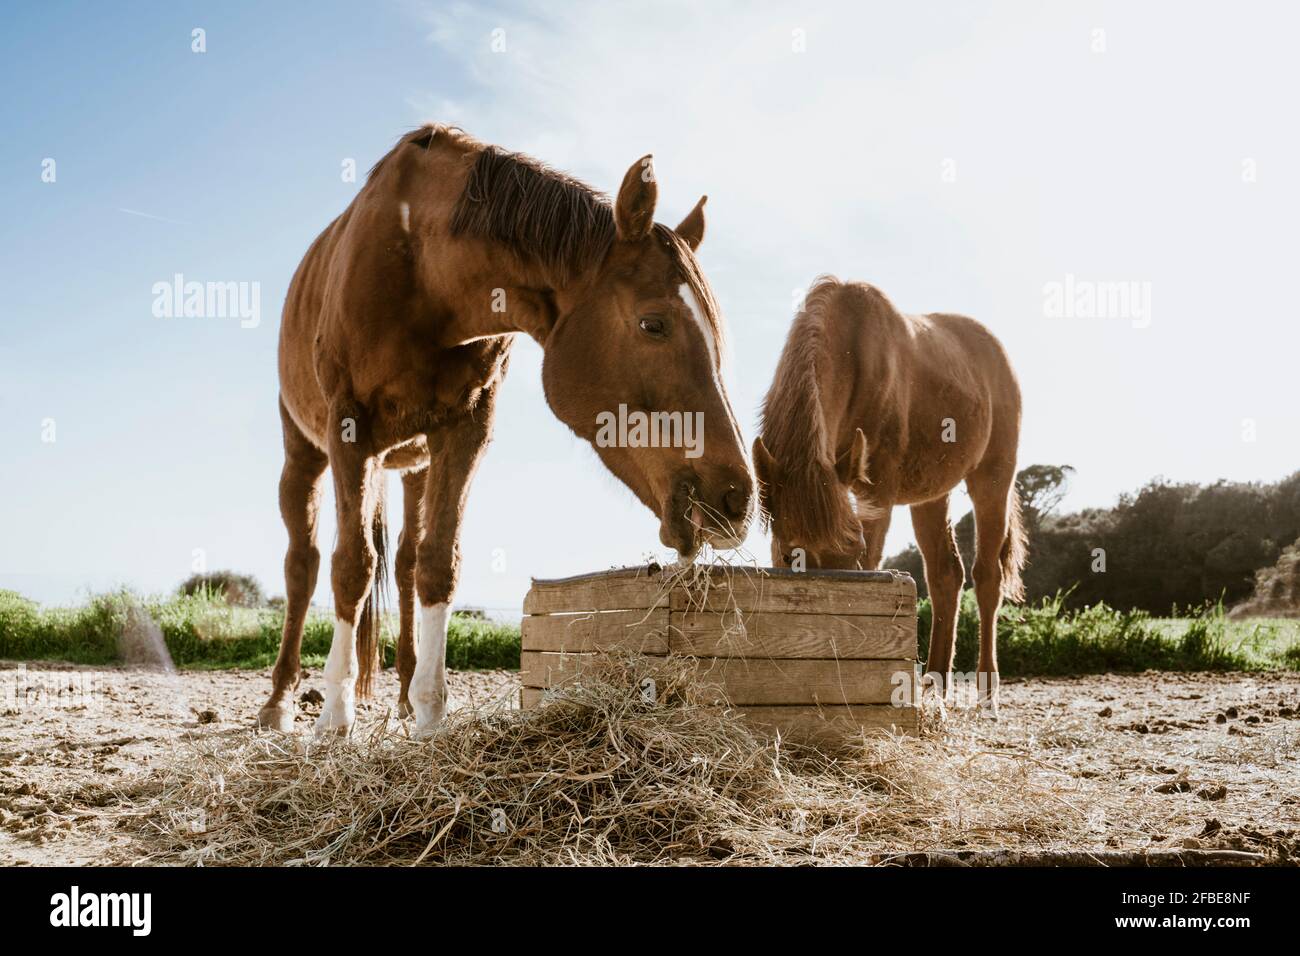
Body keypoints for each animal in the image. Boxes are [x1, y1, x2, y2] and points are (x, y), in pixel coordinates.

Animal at [259, 124, 755, 737]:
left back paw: (404, 697)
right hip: (304, 450)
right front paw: (334, 717)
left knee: (405, 563)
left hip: (414, 465)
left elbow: (438, 563)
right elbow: (350, 565)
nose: (736, 498)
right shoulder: (350, 429)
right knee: (303, 566)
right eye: (652, 323)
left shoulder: (466, 430)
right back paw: (280, 701)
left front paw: (430, 718)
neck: (422, 269)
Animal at [753, 276, 1025, 716]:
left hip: (992, 479)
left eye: (852, 549)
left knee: (987, 578)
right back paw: (933, 689)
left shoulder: (876, 488)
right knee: (946, 575)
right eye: (789, 552)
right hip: (930, 495)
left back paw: (987, 695)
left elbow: (874, 559)